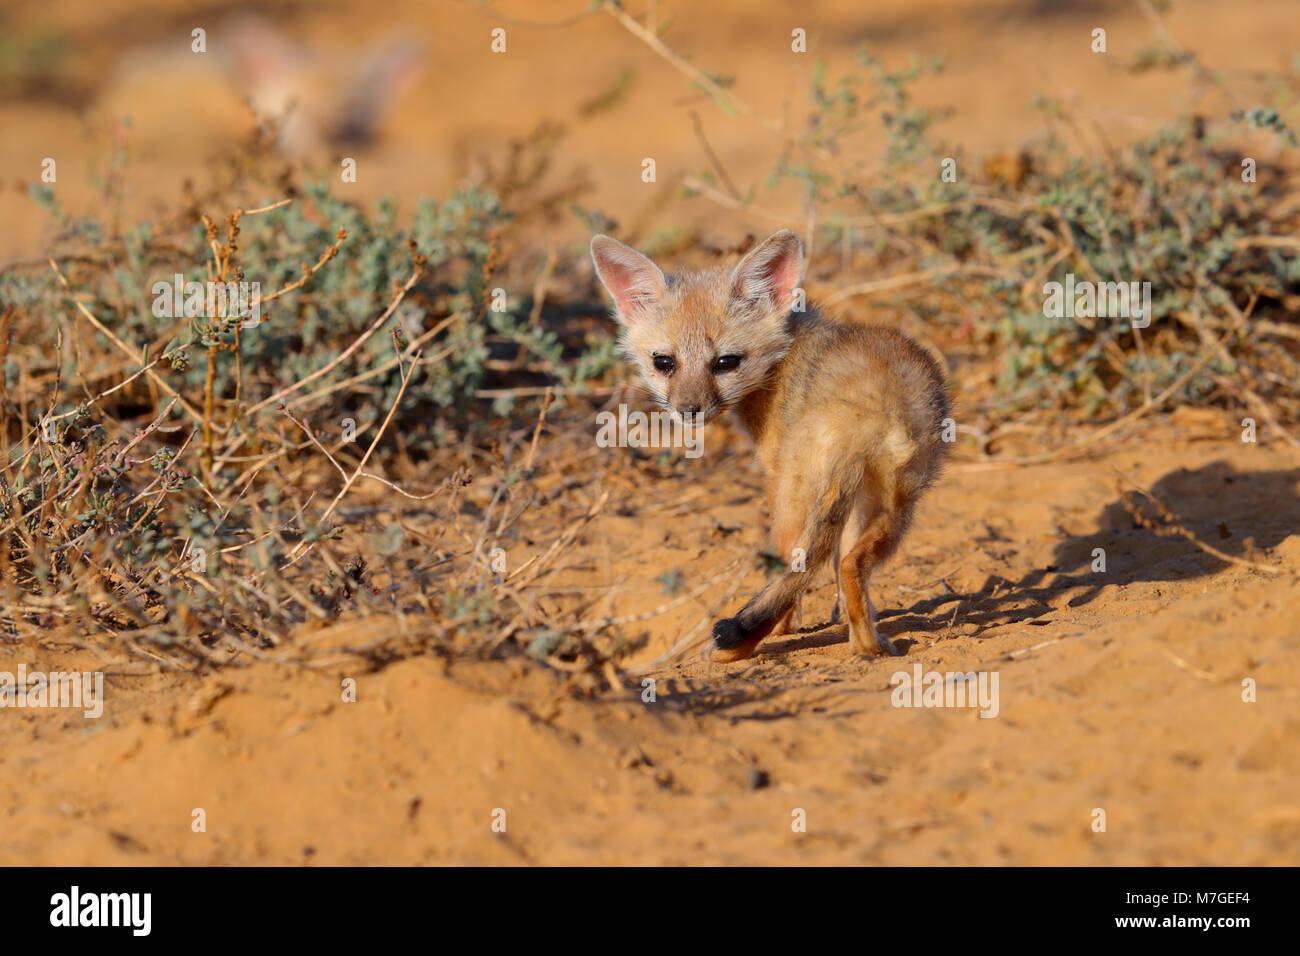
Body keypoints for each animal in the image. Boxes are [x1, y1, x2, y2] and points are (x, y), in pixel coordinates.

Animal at [590, 229, 950, 663]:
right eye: (664, 362)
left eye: (726, 362)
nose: (688, 410)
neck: (785, 355)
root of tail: (865, 408)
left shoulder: (778, 474)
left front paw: (777, 631)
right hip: (895, 506)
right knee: (849, 565)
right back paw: (868, 646)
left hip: (796, 498)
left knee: (799, 567)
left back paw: (741, 648)